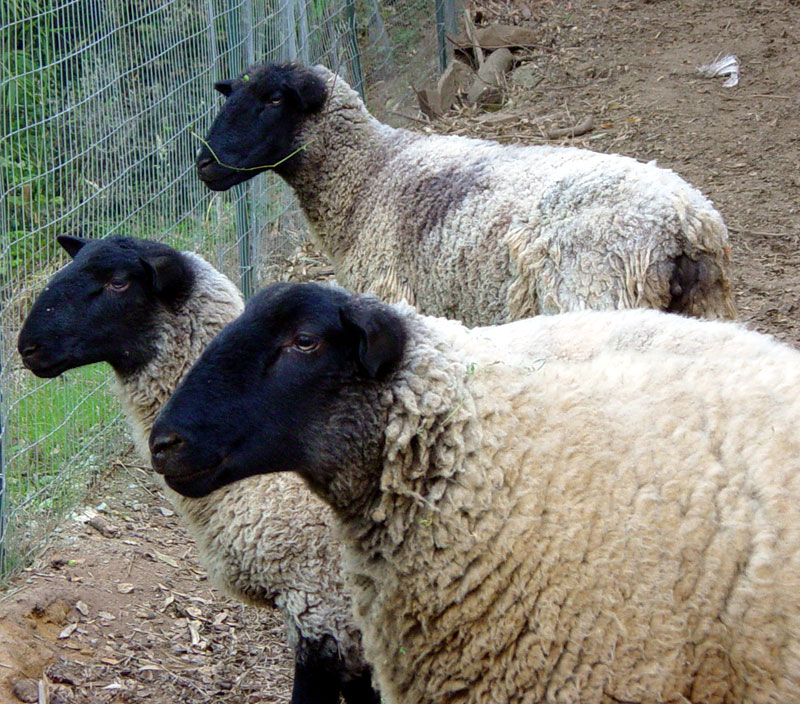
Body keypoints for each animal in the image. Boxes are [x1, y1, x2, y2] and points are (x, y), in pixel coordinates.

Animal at [195, 62, 737, 325]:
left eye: (274, 99)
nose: (203, 164)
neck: (367, 175)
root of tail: (686, 224)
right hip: (707, 308)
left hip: (595, 297)